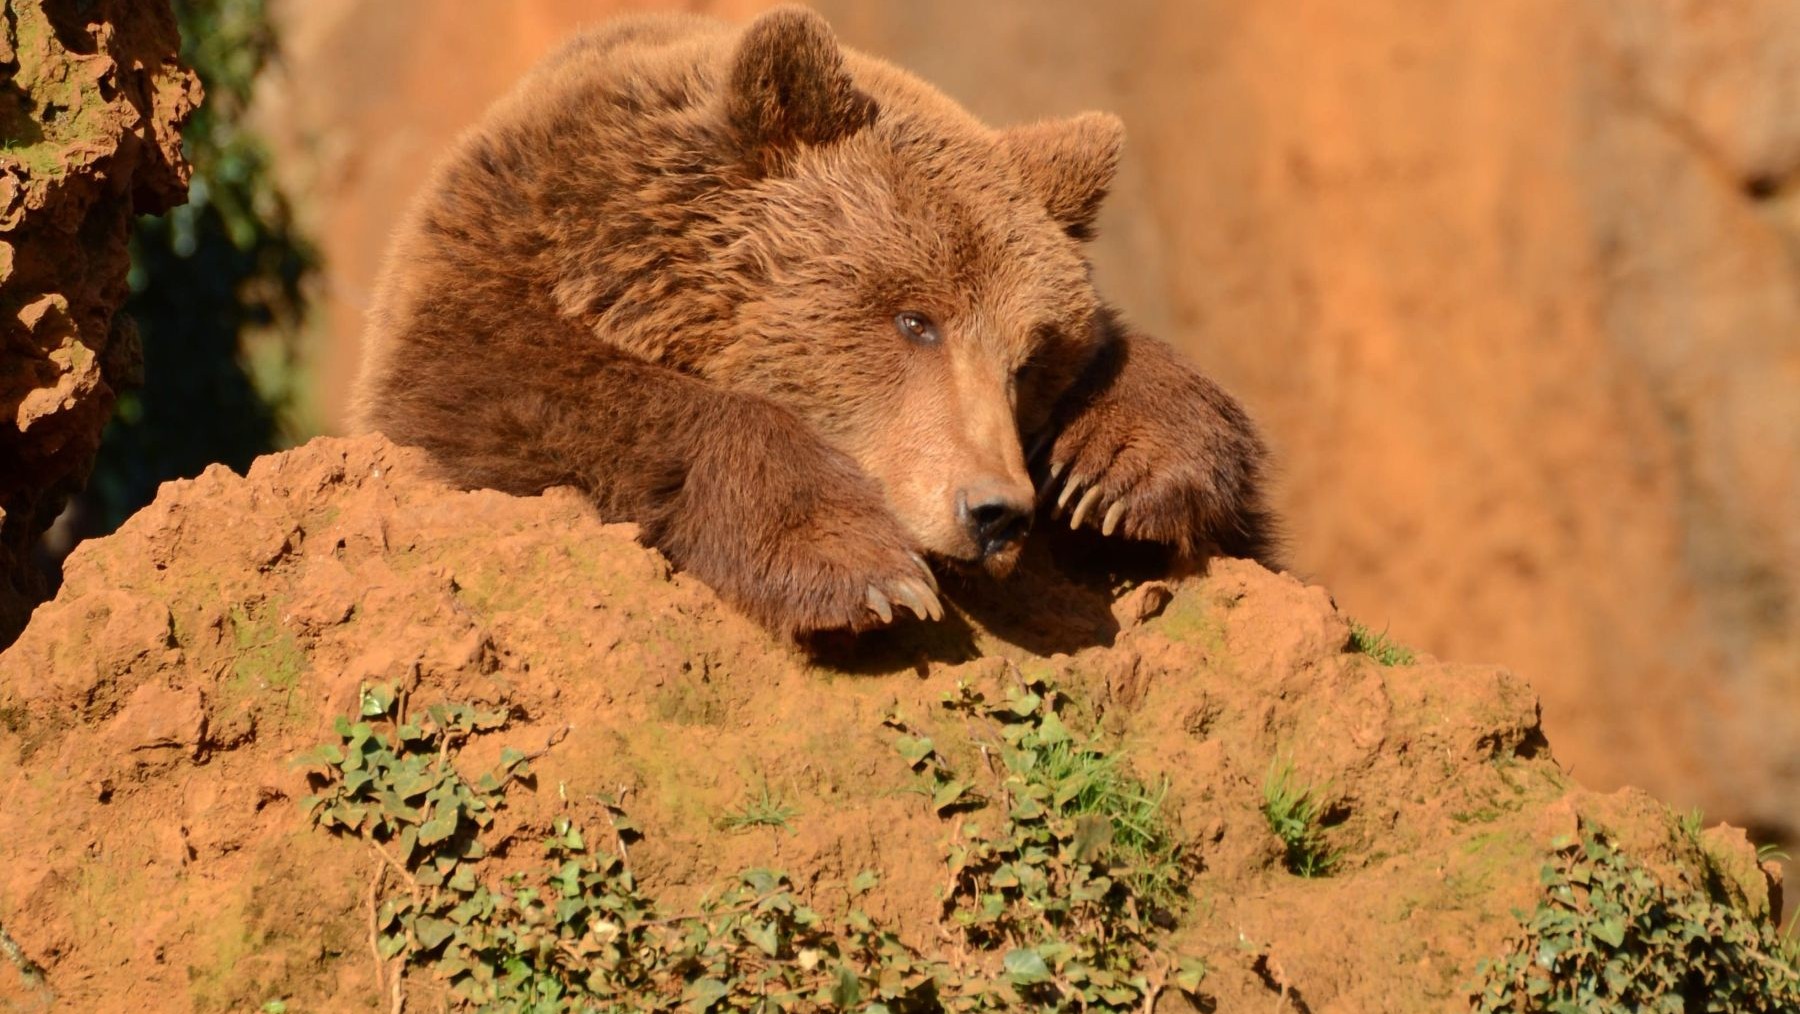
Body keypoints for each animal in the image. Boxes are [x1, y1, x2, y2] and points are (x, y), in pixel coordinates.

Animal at [352, 6, 1276, 637]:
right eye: (914, 320)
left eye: (1029, 361)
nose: (996, 510)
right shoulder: (475, 305)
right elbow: (537, 395)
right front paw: (858, 564)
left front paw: (1116, 472)